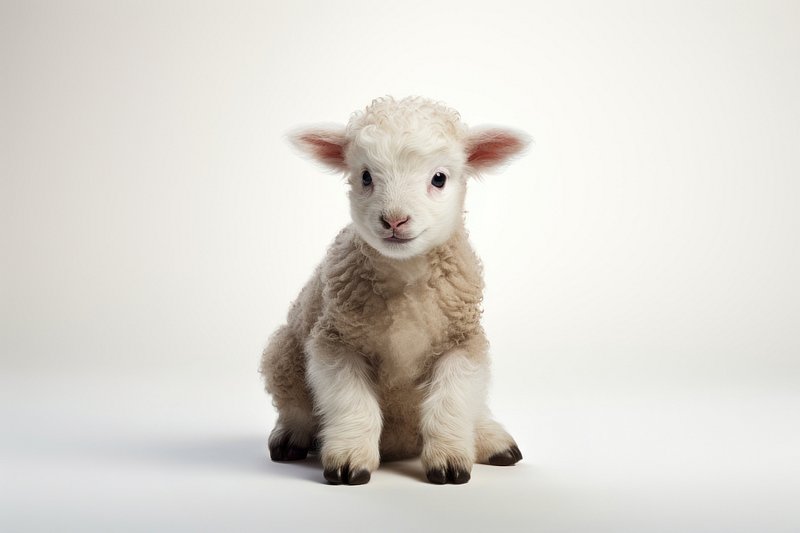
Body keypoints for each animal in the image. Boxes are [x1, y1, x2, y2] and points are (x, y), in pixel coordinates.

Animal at [260, 96, 530, 485]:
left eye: (439, 178)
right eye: (366, 176)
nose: (394, 220)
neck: (406, 276)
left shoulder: (462, 343)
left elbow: (451, 401)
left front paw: (450, 461)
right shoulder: (335, 342)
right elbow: (353, 404)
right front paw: (349, 461)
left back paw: (491, 440)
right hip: (283, 355)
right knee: (294, 408)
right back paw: (290, 438)